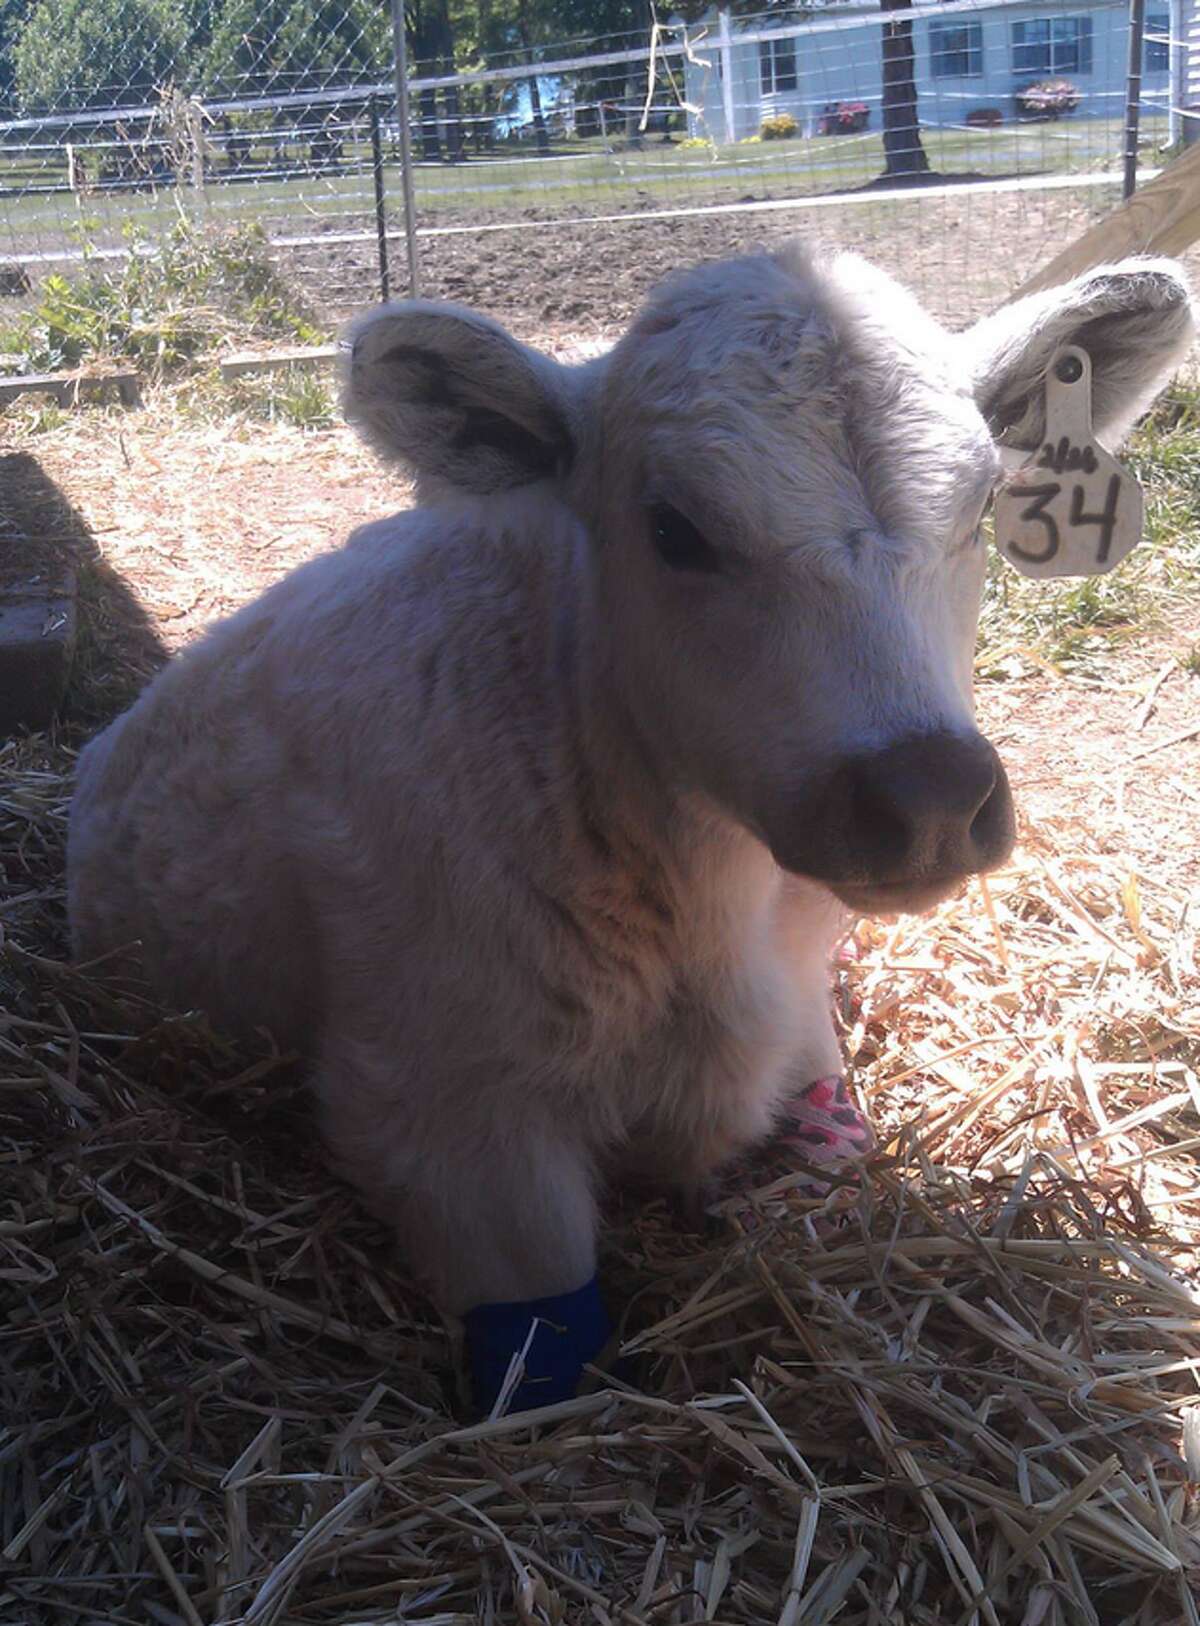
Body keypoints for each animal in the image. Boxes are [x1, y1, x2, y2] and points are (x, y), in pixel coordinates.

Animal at [67, 244, 1194, 1412]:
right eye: (674, 530)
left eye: (979, 512)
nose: (929, 795)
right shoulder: (440, 1110)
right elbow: (546, 1348)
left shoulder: (798, 1029)